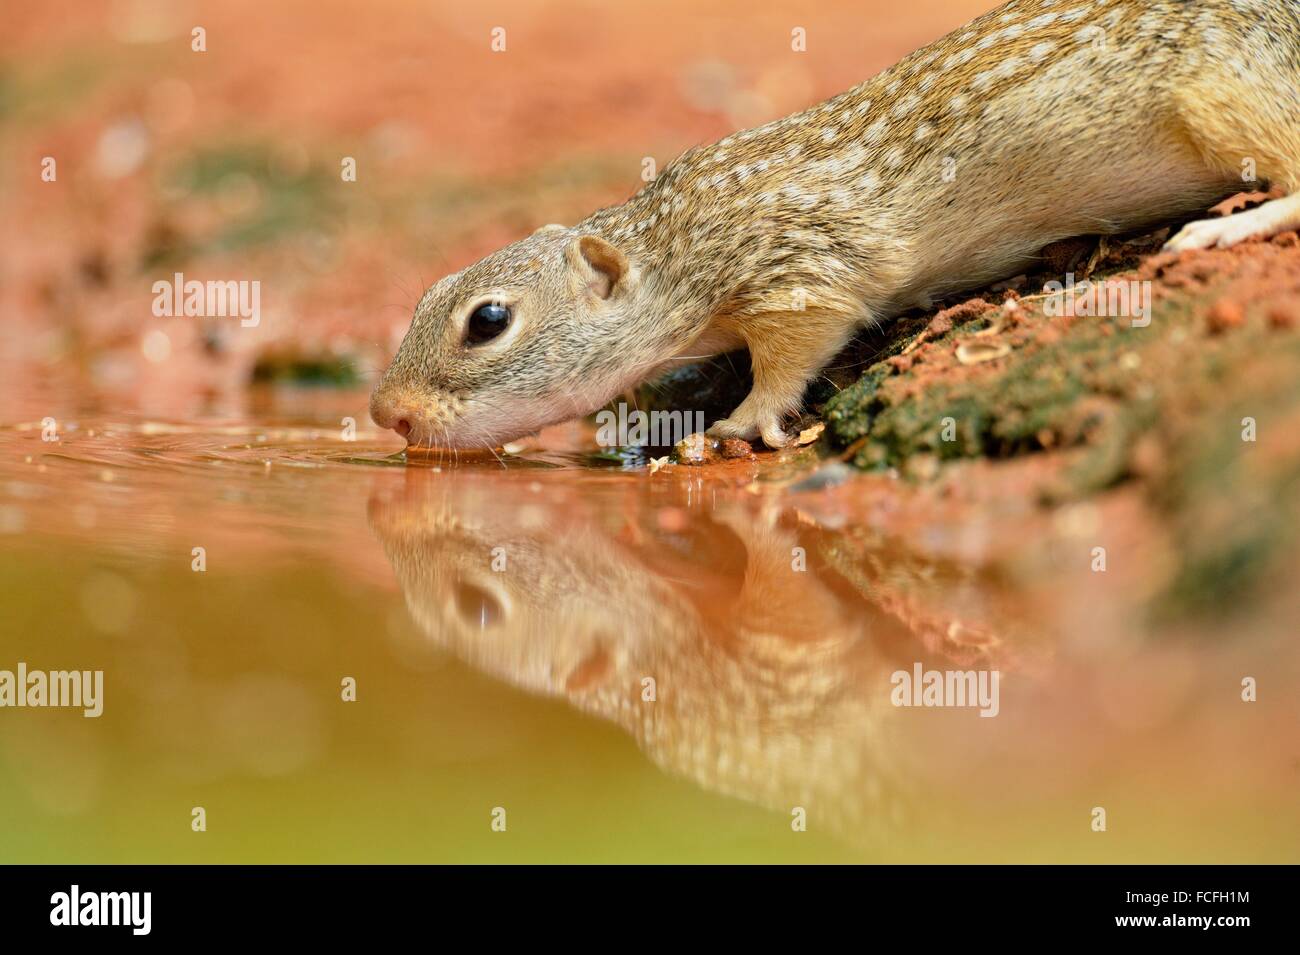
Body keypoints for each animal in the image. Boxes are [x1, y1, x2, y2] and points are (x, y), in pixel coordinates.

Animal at [371, 0, 1300, 450]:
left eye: (488, 321)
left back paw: (1230, 226)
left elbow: (792, 354)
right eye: (422, 296)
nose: (383, 413)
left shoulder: (795, 275)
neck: (678, 239)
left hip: (1225, 98)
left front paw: (741, 419)